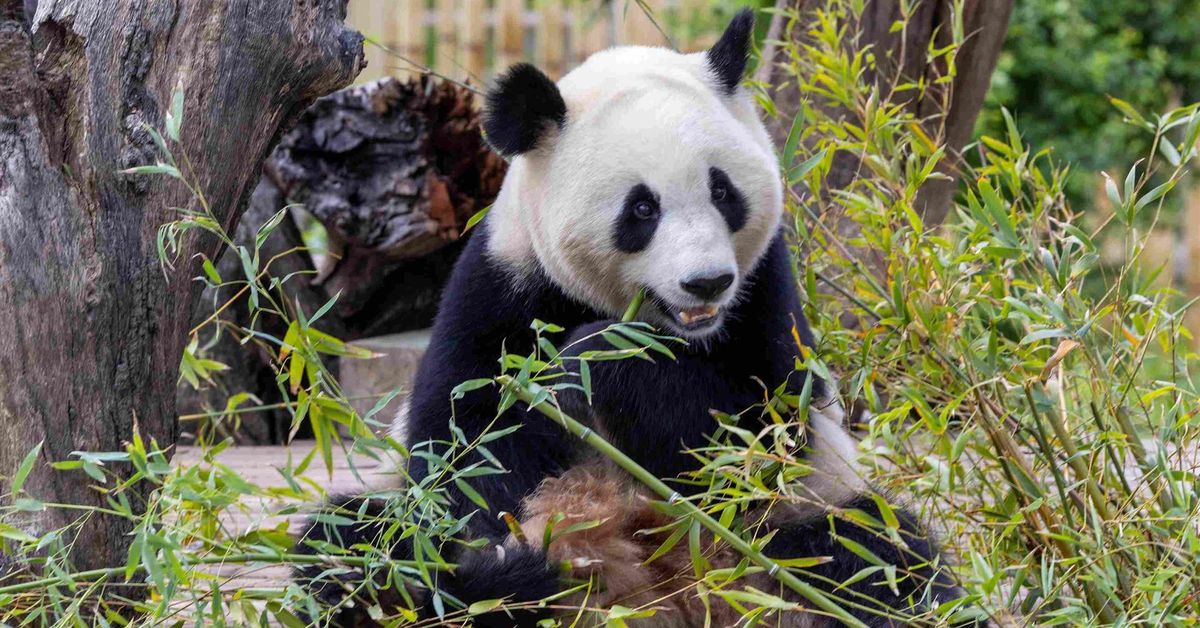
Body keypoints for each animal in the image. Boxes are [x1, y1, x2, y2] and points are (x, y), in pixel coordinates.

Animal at [295, 10, 971, 627]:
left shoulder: (764, 290)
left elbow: (758, 431)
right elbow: (466, 447)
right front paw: (507, 554)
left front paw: (590, 363)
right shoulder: (499, 285)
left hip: (790, 526)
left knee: (874, 555)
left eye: (723, 191)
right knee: (357, 545)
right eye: (641, 209)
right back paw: (503, 586)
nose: (707, 282)